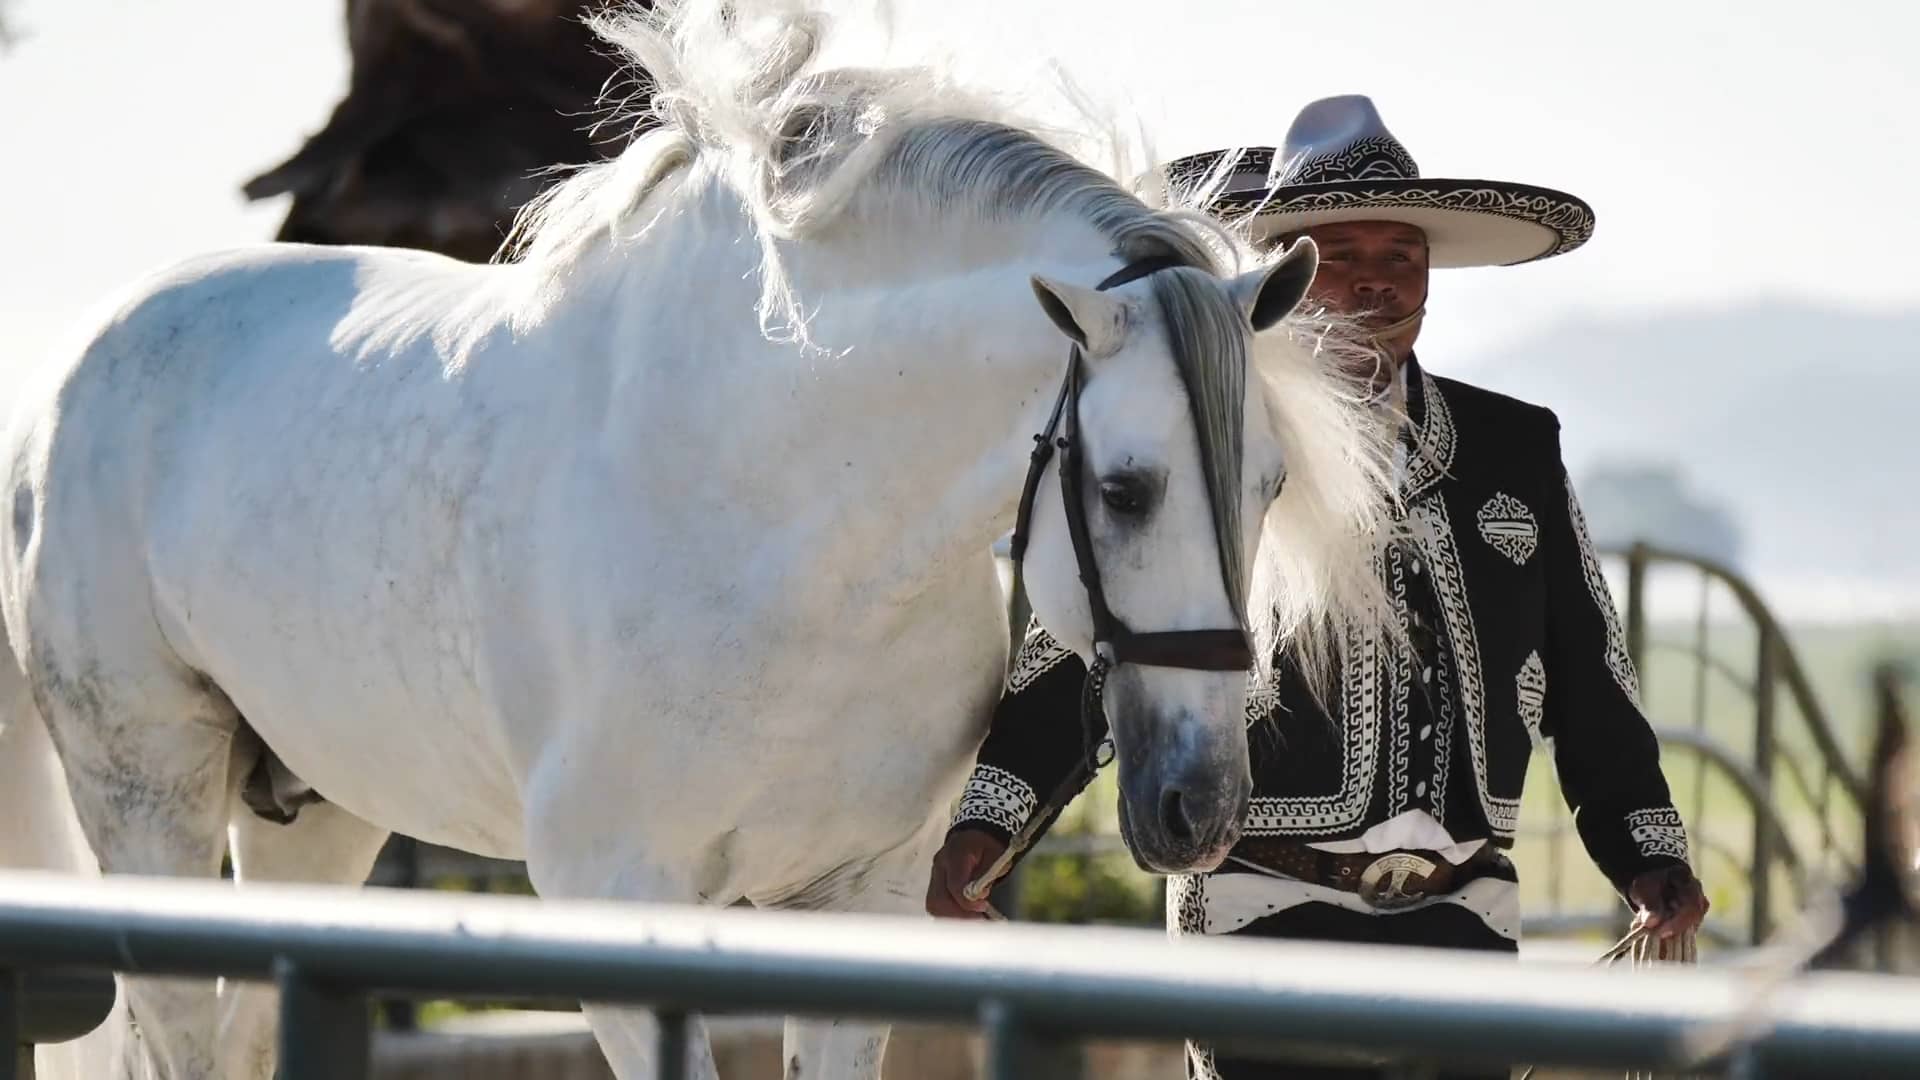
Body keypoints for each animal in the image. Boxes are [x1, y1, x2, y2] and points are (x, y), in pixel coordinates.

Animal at [0, 1, 1400, 1076]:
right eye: (1123, 488)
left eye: (1271, 484)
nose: (1196, 807)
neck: (785, 528)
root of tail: (65, 386)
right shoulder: (617, 902)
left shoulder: (860, 904)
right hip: (148, 794)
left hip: (318, 815)